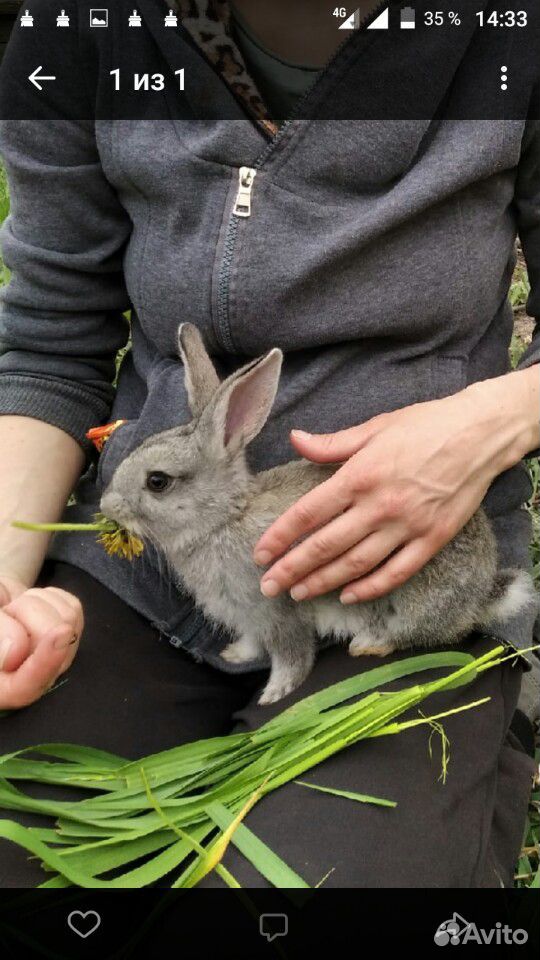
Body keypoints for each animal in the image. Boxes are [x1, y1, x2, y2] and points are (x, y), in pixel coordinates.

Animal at [100, 323, 535, 705]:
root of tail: (481, 597)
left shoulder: (278, 608)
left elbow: (292, 656)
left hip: (415, 603)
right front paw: (235, 654)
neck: (224, 518)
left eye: (157, 482)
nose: (106, 505)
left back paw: (367, 645)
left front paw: (275, 694)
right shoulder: (248, 617)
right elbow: (254, 643)